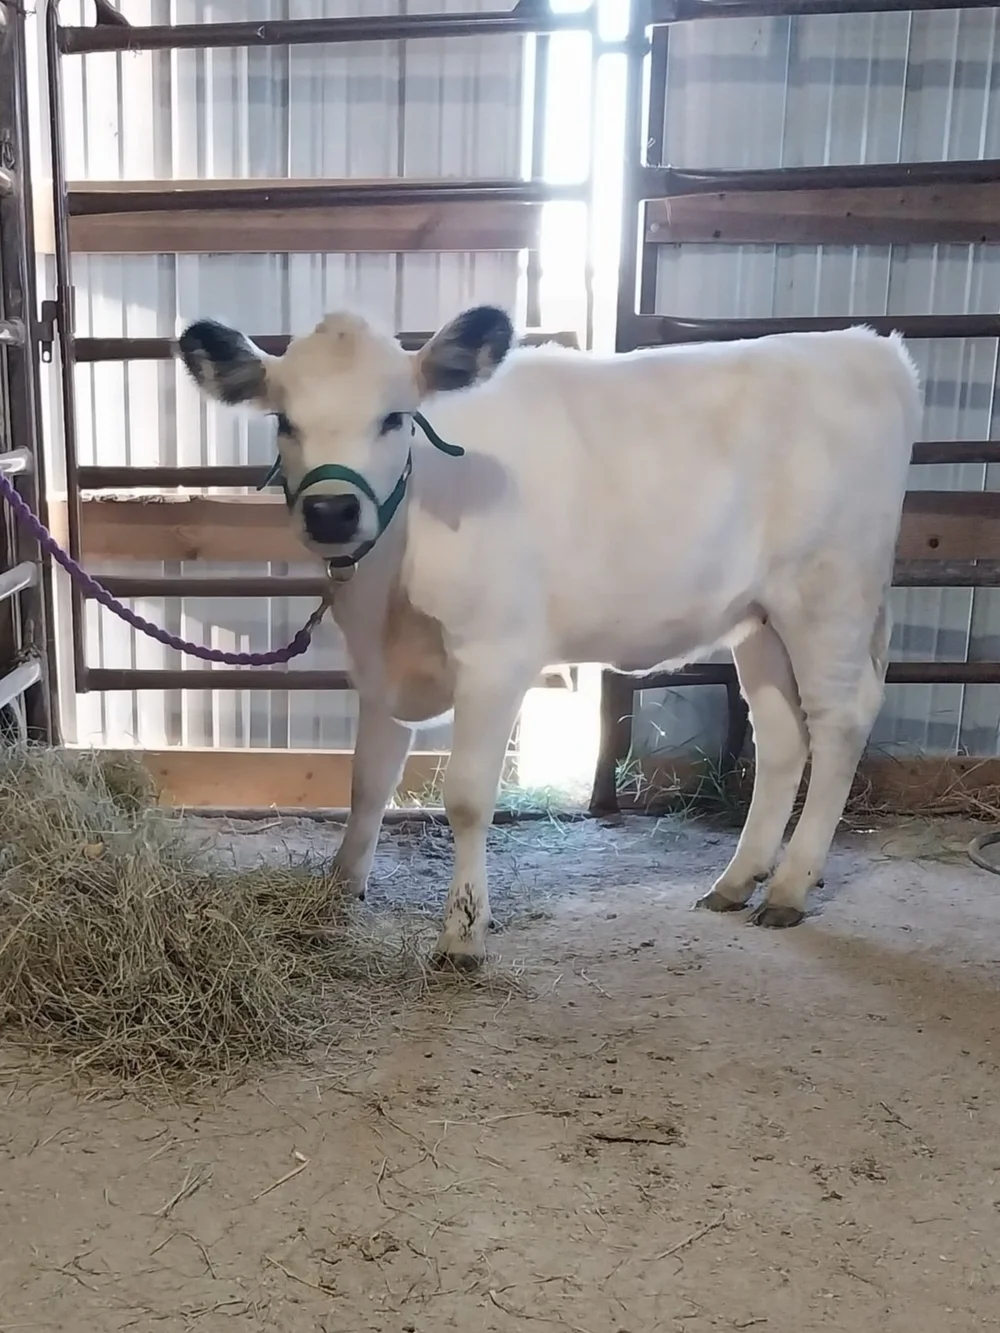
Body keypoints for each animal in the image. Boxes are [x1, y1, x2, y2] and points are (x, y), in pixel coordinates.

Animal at [178, 308, 921, 969]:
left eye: (395, 417)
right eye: (284, 421)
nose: (332, 510)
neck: (388, 583)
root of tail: (868, 348)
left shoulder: (495, 655)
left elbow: (467, 796)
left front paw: (463, 934)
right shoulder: (380, 668)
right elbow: (367, 783)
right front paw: (339, 890)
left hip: (829, 595)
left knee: (839, 720)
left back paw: (790, 886)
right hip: (758, 618)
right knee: (783, 735)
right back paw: (738, 881)